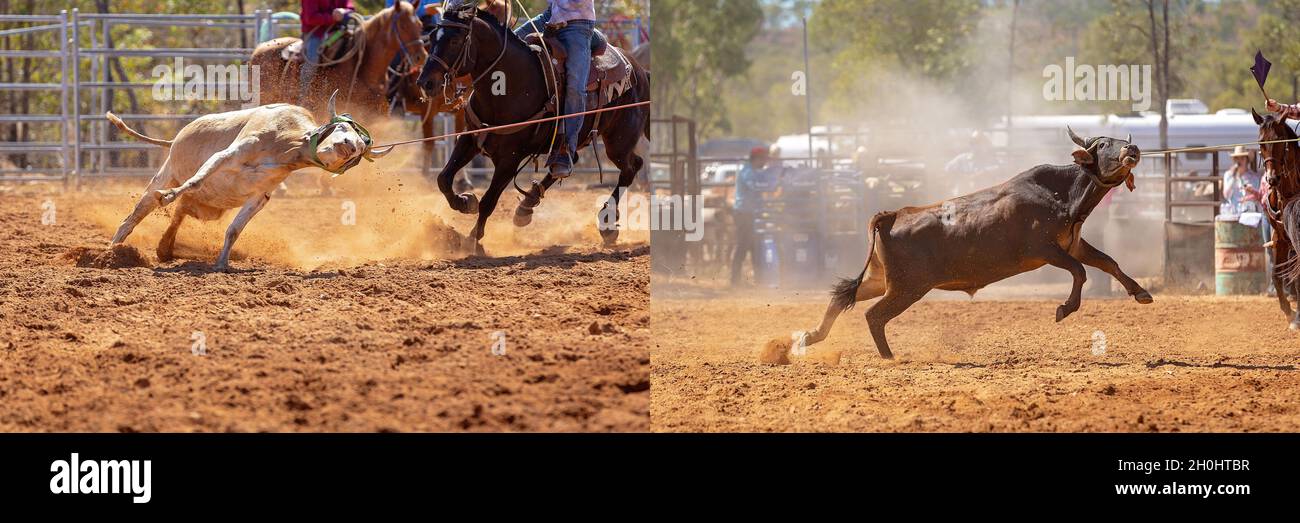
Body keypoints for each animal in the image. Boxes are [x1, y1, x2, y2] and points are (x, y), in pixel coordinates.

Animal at [105, 95, 388, 271]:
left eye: (359, 150)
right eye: (343, 129)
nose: (348, 145)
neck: (287, 145)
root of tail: (174, 139)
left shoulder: (260, 197)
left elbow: (234, 230)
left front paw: (222, 263)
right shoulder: (226, 156)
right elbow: (194, 181)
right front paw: (168, 195)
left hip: (210, 207)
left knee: (180, 212)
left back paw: (165, 248)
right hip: (167, 173)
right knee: (138, 213)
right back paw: (113, 249)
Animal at [799, 128, 1153, 359]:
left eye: (1123, 140)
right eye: (1104, 144)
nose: (1132, 150)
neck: (1059, 194)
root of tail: (893, 215)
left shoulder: (1072, 245)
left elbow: (1108, 262)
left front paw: (1140, 292)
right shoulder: (1045, 250)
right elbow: (1080, 271)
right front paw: (1064, 308)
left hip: (881, 279)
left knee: (842, 297)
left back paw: (810, 337)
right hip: (906, 287)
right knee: (874, 315)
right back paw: (889, 358)